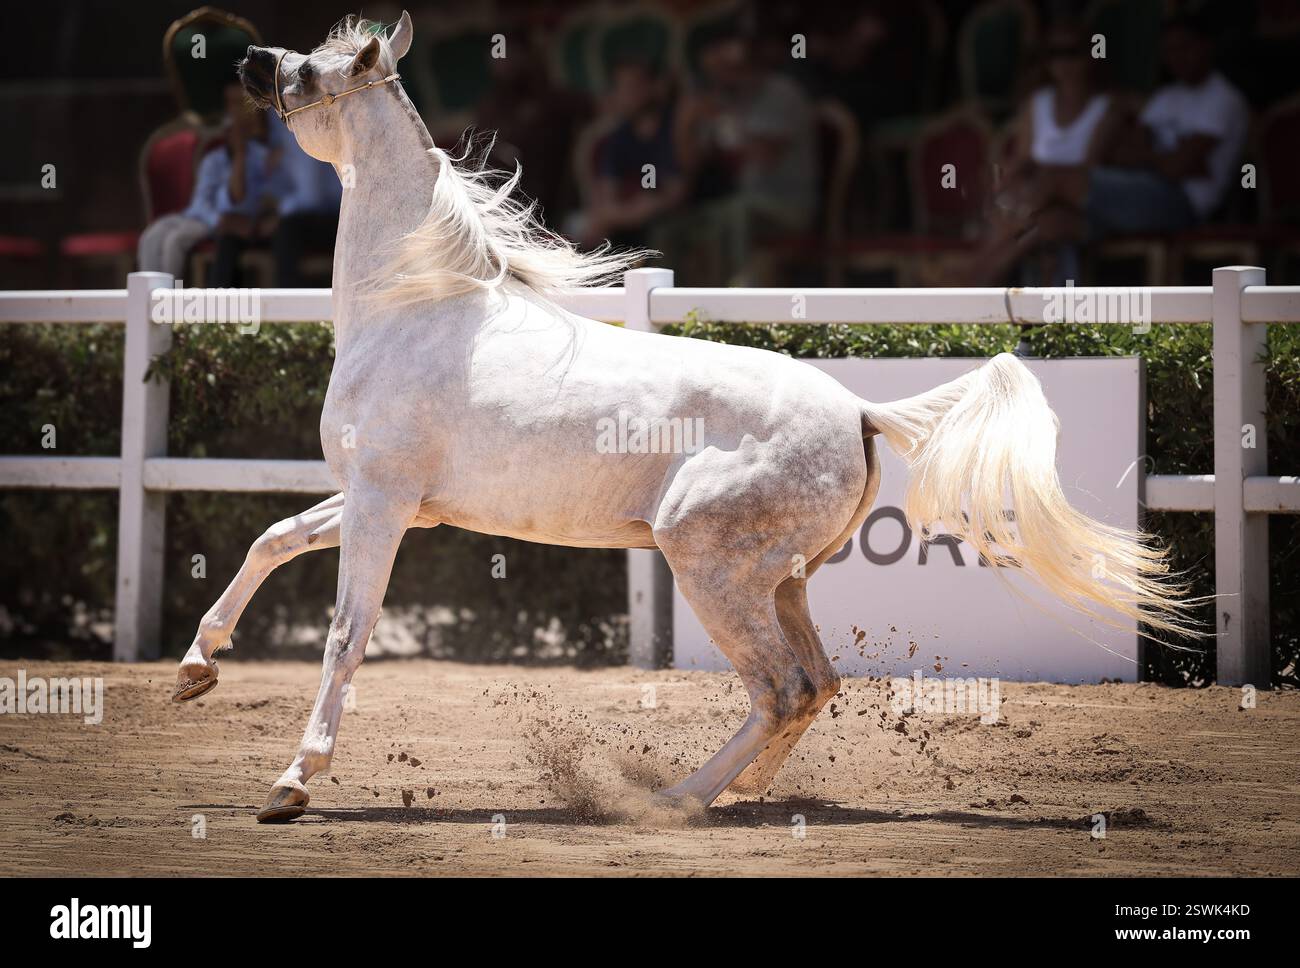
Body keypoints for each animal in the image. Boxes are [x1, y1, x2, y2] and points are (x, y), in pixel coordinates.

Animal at [171, 12, 1189, 823]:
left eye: (312, 75)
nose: (249, 58)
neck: (416, 306)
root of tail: (859, 411)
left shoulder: (384, 504)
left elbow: (346, 633)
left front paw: (292, 783)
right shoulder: (393, 502)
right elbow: (270, 538)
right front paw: (195, 669)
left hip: (707, 565)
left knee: (781, 688)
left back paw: (672, 801)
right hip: (780, 581)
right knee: (814, 685)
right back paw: (734, 792)